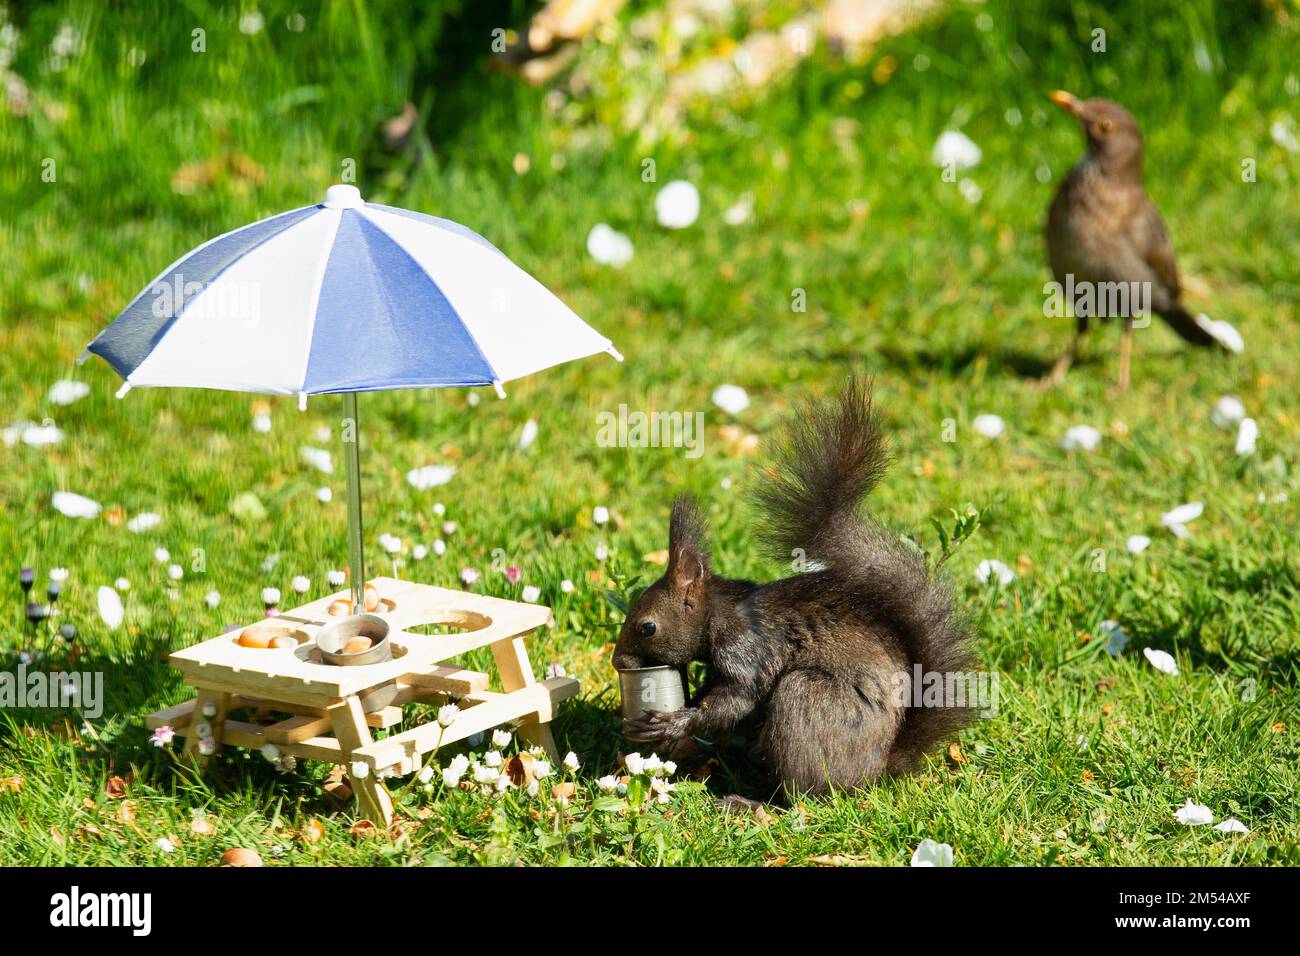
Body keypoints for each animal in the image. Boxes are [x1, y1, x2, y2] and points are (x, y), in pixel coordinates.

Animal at [612, 377, 978, 794]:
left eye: (647, 627)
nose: (618, 662)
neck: (718, 610)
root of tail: (879, 770)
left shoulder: (747, 646)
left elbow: (736, 700)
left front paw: (674, 723)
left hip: (807, 701)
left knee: (802, 791)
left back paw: (752, 800)